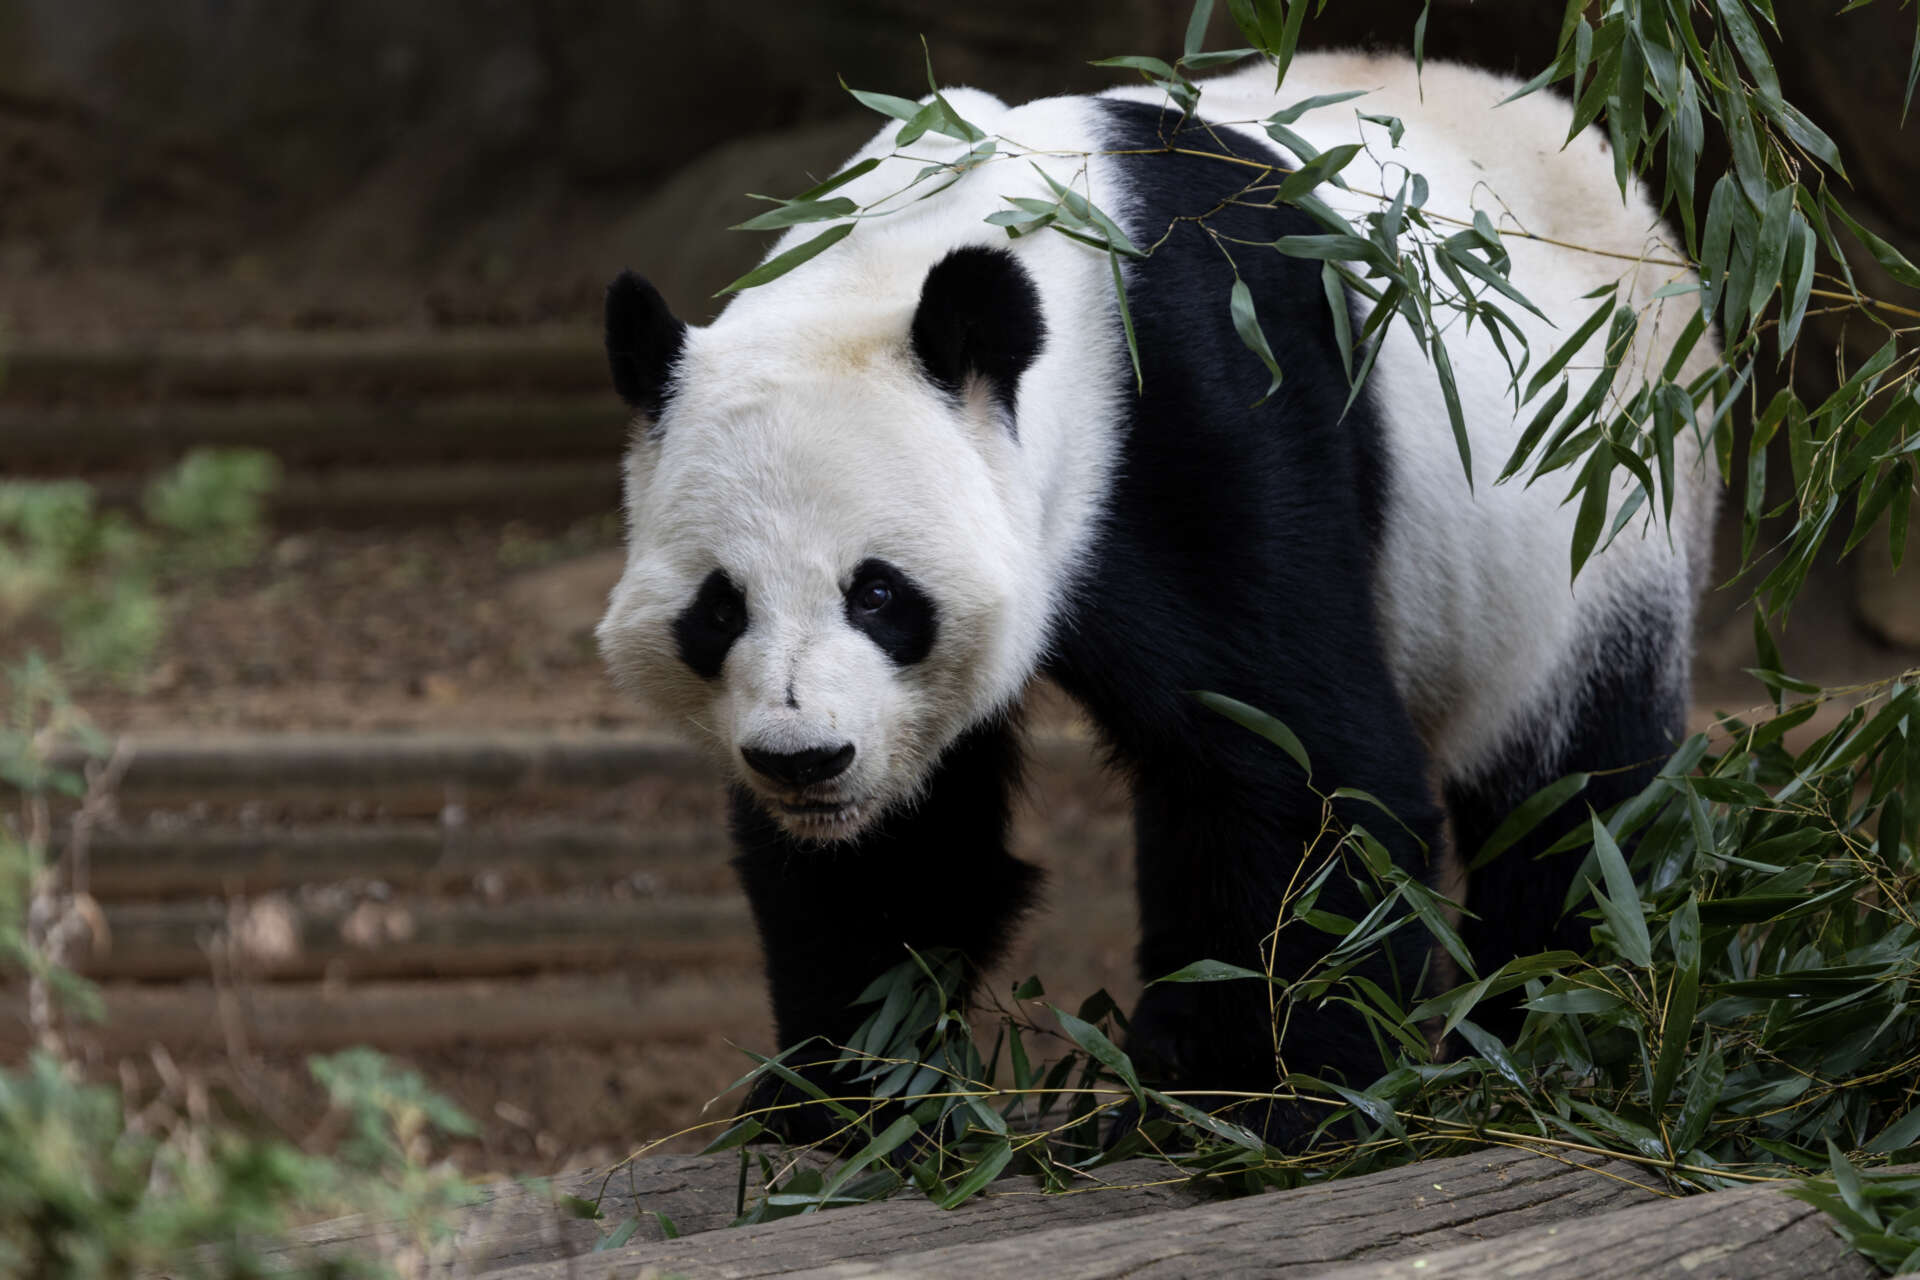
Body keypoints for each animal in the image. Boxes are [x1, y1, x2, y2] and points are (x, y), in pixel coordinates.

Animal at [596, 53, 1720, 1145]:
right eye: (720, 609)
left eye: (877, 593)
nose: (804, 758)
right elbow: (899, 858)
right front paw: (843, 1099)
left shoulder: (1201, 406)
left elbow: (1293, 762)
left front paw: (1266, 1093)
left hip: (1603, 513)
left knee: (1576, 801)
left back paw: (1562, 1034)